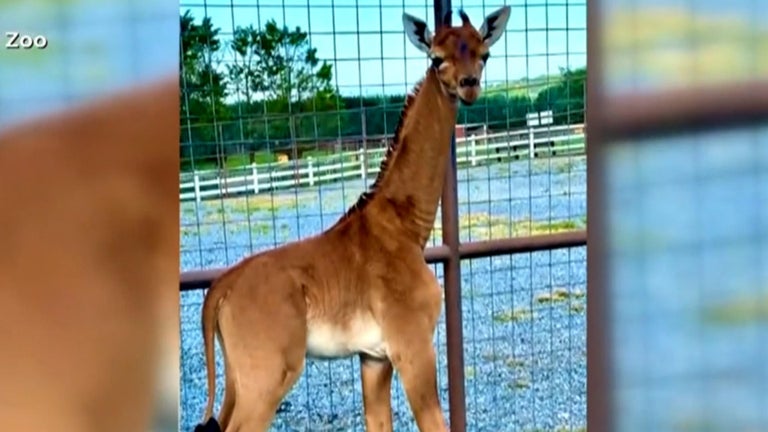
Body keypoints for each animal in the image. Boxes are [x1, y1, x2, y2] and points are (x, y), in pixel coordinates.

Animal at [194, 6, 511, 432]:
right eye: (436, 58)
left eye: (484, 54)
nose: (469, 86)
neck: (405, 227)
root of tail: (219, 290)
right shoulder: (412, 345)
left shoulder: (373, 357)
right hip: (267, 375)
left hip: (237, 378)